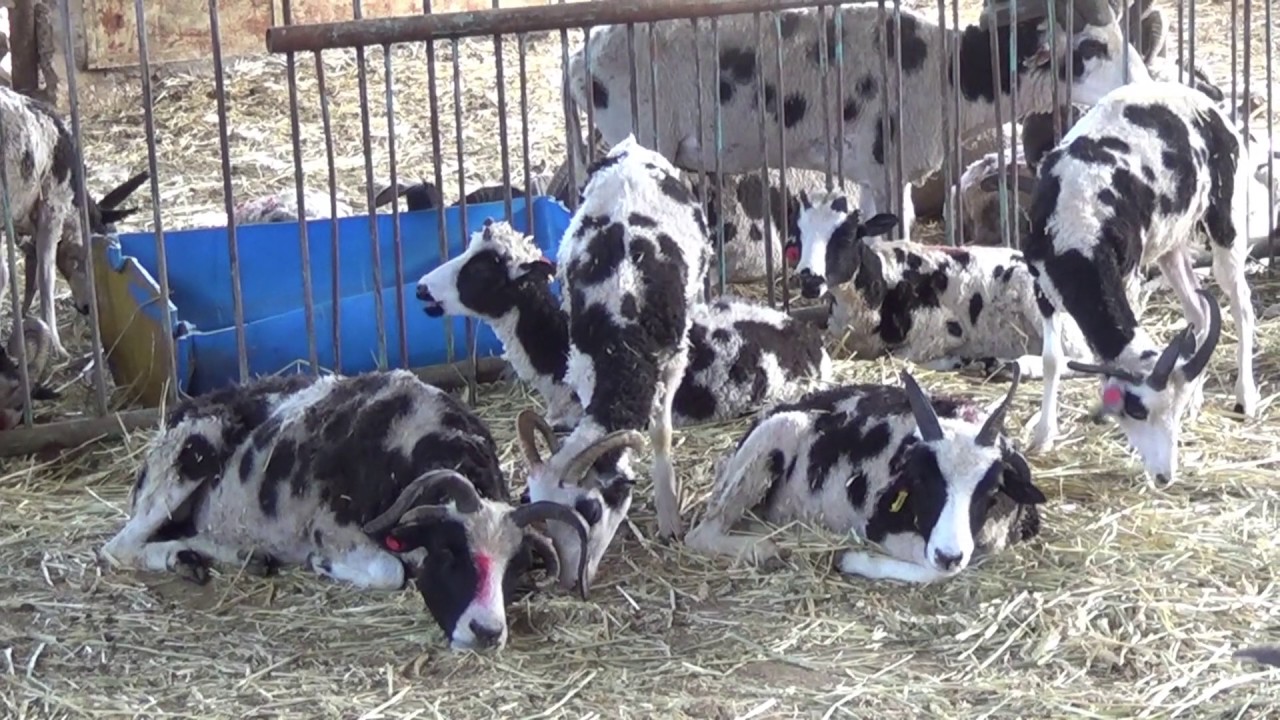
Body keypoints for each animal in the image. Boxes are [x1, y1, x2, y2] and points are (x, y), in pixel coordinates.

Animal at [99, 369, 592, 651]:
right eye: (449, 553)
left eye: (516, 569)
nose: (487, 632)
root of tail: (189, 405)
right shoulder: (334, 528)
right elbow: (389, 571)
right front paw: (324, 565)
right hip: (188, 456)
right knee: (119, 547)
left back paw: (237, 556)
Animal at [566, 0, 1150, 243]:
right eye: (1092, 48)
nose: (1143, 85)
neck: (953, 73)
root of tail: (580, 60)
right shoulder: (889, 163)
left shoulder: (871, 172)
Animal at [684, 364, 1046, 583]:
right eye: (921, 480)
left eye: (991, 490)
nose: (949, 555)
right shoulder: (886, 529)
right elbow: (934, 571)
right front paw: (849, 559)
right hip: (772, 441)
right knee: (702, 533)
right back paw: (769, 550)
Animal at [790, 189, 1095, 380]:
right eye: (796, 237)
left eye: (846, 236)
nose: (809, 279)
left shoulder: (941, 330)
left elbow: (897, 359)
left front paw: (955, 361)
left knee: (1079, 358)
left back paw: (1010, 366)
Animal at [1022, 79, 1256, 487]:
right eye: (1137, 409)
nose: (1165, 477)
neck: (1078, 225)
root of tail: (1207, 103)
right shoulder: (1041, 283)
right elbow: (1051, 359)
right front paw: (1042, 436)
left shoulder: (1126, 274)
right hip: (1170, 243)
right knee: (1198, 310)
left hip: (1227, 216)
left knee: (1241, 302)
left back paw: (1246, 397)